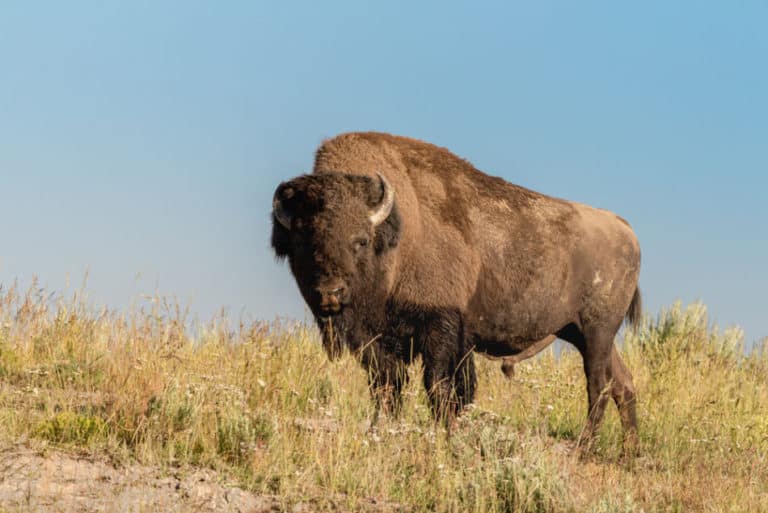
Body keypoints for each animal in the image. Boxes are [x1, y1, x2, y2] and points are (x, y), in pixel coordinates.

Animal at [271, 132, 641, 449]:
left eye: (360, 240)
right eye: (302, 243)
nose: (330, 292)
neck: (400, 235)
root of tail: (625, 230)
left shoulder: (440, 327)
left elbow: (439, 385)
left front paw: (444, 433)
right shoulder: (374, 340)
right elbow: (388, 386)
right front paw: (383, 431)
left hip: (596, 331)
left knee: (599, 385)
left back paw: (585, 446)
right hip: (580, 333)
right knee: (623, 384)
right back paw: (629, 452)